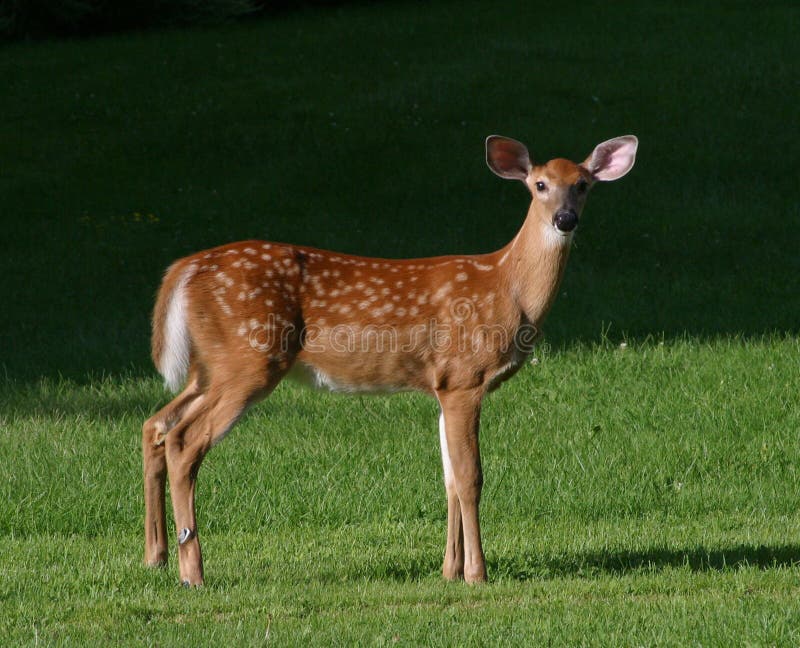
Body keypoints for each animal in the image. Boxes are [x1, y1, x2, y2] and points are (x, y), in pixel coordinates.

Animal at [142, 134, 638, 586]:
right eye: (539, 184)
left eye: (583, 185)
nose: (565, 219)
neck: (507, 288)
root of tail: (184, 269)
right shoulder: (465, 377)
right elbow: (471, 478)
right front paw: (477, 573)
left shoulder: (442, 385)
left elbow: (449, 479)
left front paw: (449, 571)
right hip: (249, 358)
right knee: (184, 440)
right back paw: (193, 572)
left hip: (209, 367)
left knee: (156, 425)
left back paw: (156, 557)